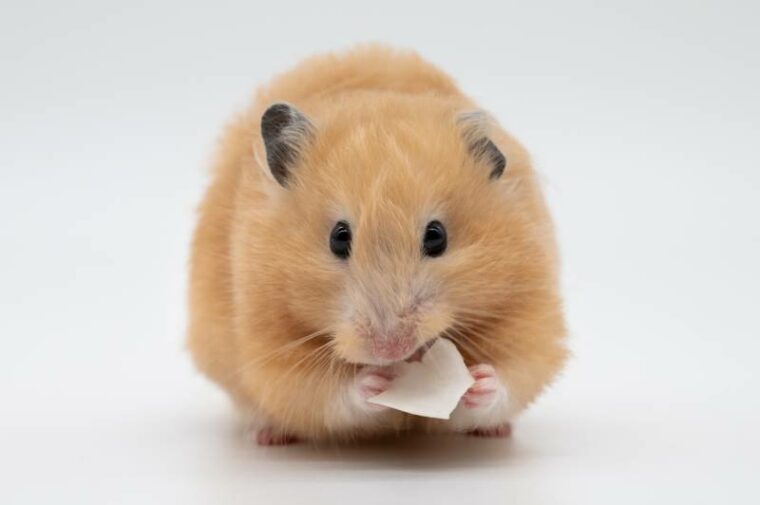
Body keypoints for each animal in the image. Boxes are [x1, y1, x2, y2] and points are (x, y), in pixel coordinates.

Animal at [187, 46, 568, 445]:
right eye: (338, 238)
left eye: (436, 236)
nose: (390, 348)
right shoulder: (265, 340)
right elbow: (319, 395)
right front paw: (373, 384)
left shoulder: (532, 309)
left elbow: (520, 372)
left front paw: (479, 382)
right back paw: (268, 436)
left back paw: (495, 430)